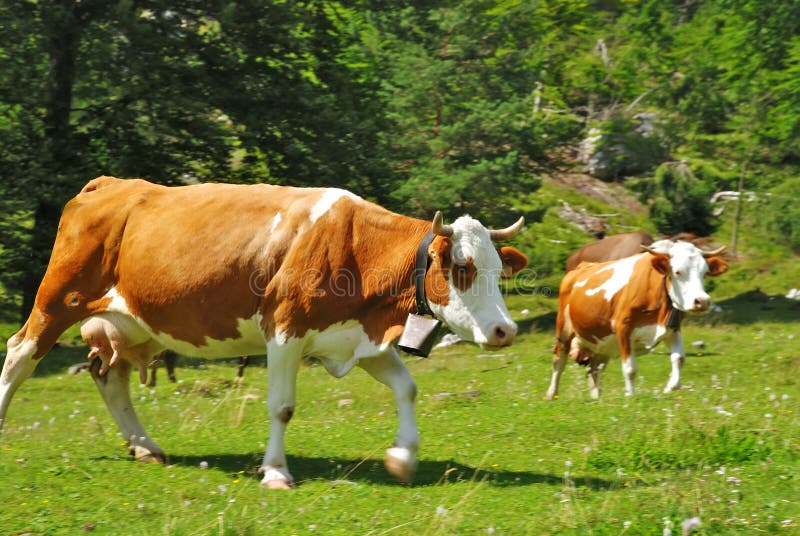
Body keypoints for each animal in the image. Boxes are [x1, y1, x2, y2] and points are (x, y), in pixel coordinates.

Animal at [0, 176, 528, 489]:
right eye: (463, 267)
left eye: (499, 269)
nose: (505, 330)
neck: (356, 249)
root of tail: (110, 182)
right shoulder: (284, 329)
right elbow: (282, 406)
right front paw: (275, 472)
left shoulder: (357, 336)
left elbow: (407, 387)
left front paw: (403, 457)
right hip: (57, 299)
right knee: (19, 354)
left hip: (131, 323)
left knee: (110, 377)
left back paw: (145, 445)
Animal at [546, 240, 727, 400]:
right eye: (677, 271)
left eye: (704, 273)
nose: (702, 301)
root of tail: (581, 266)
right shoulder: (623, 328)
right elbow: (630, 368)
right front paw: (630, 396)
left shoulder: (672, 328)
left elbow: (679, 358)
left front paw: (670, 386)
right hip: (564, 330)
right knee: (558, 361)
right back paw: (551, 394)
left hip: (603, 343)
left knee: (594, 369)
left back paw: (597, 398)